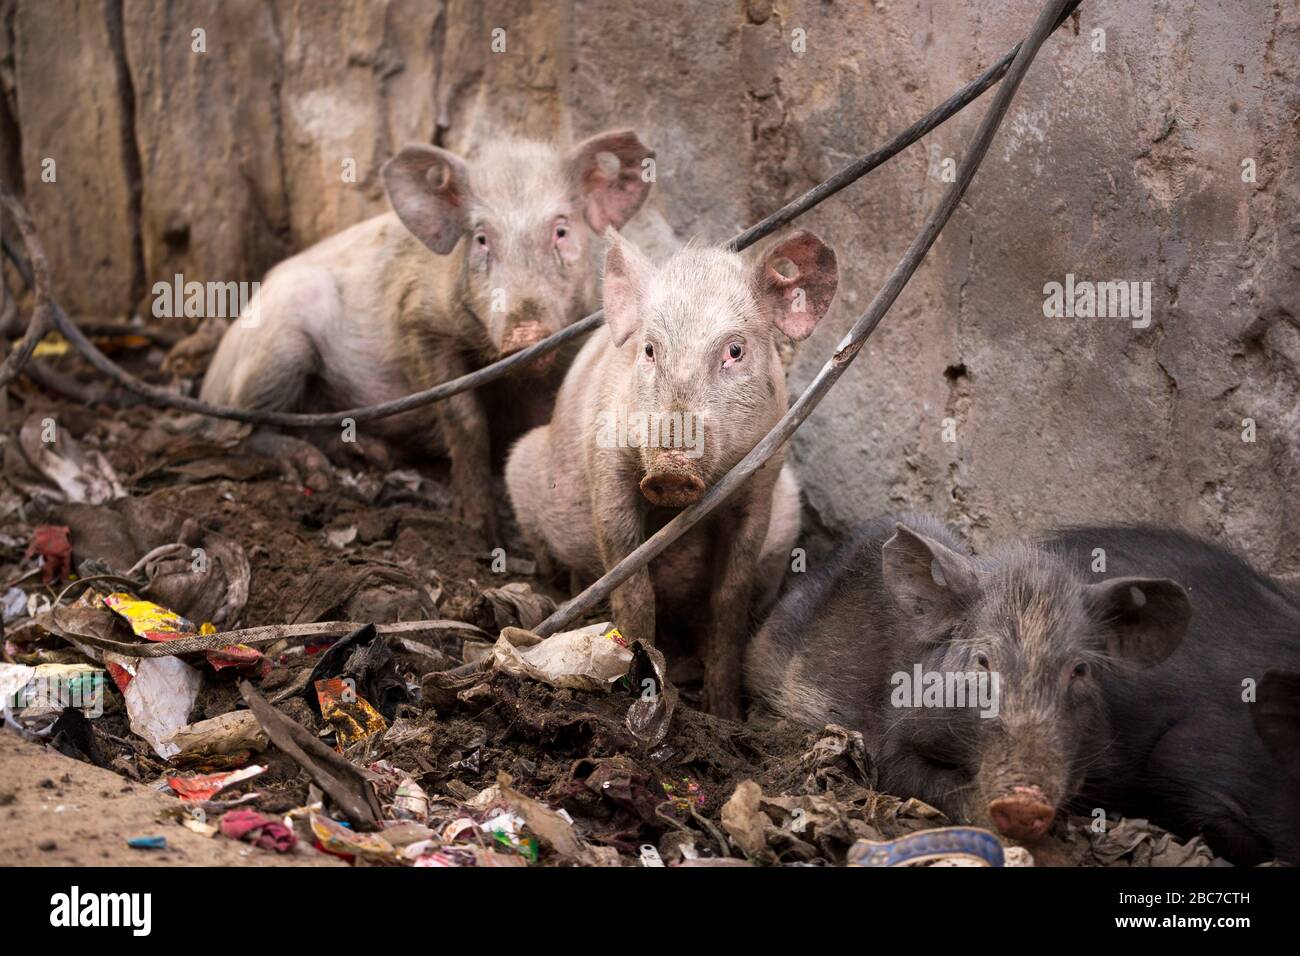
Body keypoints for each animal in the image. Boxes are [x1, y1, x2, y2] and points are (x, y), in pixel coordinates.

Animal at [199, 130, 654, 542]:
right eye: (481, 239)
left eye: (561, 231)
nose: (525, 331)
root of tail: (209, 382)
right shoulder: (419, 321)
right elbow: (464, 417)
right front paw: (481, 531)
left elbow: (545, 416)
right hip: (277, 344)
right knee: (242, 430)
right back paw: (313, 469)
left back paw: (368, 454)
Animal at [505, 229, 839, 717]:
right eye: (649, 349)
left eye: (734, 350)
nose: (671, 470)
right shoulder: (607, 467)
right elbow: (632, 586)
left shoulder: (763, 477)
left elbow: (729, 598)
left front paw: (725, 714)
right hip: (520, 464)